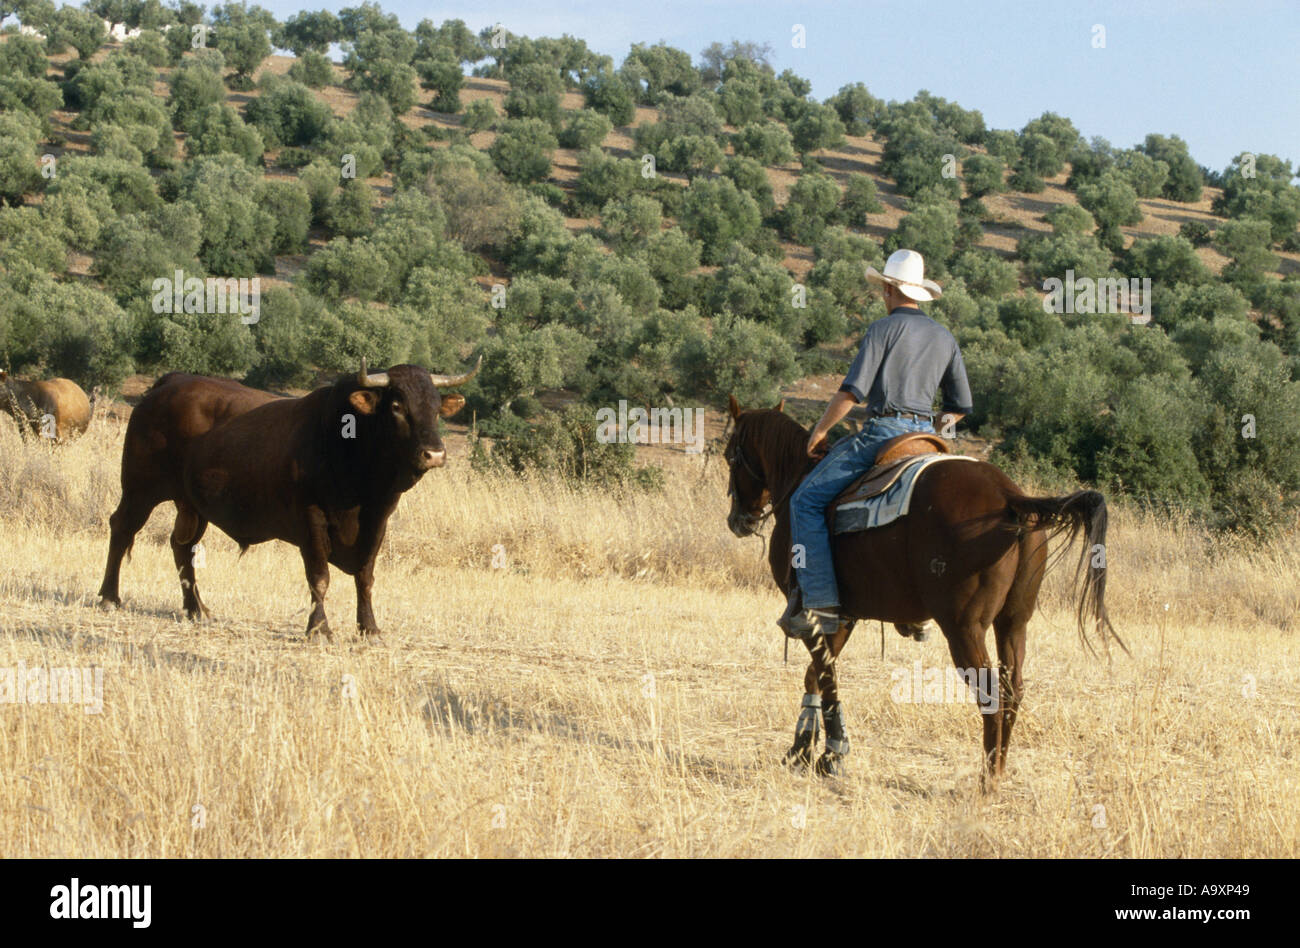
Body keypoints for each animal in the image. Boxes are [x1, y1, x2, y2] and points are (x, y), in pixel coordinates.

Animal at [96, 358, 480, 638]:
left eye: (435, 406)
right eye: (398, 405)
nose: (434, 453)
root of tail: (170, 383)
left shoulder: (378, 520)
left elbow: (365, 576)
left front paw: (369, 628)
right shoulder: (311, 519)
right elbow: (320, 577)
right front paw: (320, 629)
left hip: (191, 504)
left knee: (182, 547)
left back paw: (195, 608)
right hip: (139, 489)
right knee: (122, 529)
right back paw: (108, 597)